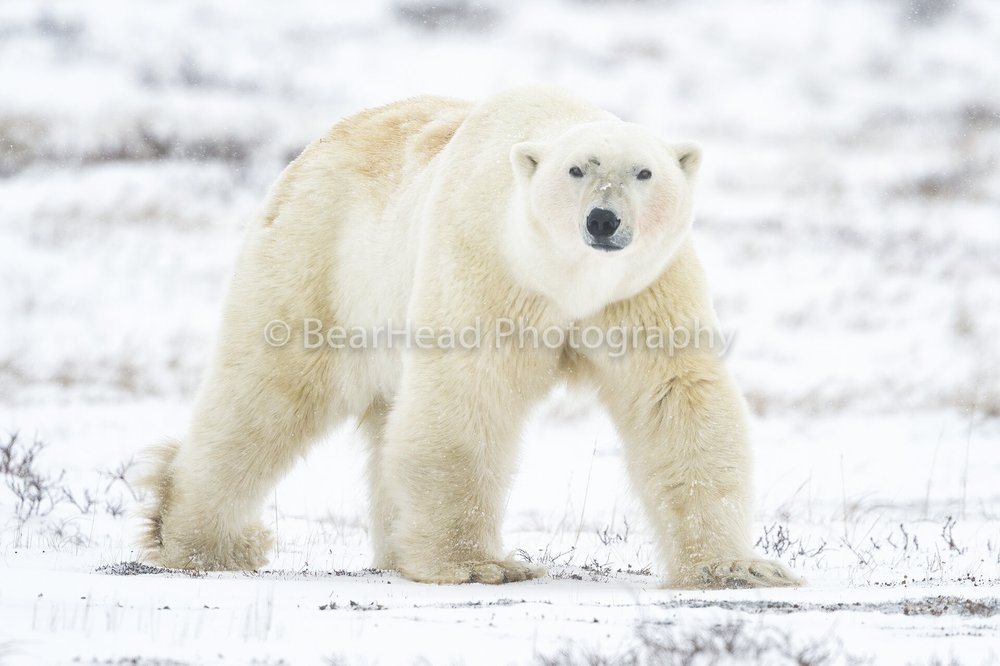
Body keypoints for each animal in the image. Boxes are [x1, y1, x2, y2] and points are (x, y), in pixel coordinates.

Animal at [139, 86, 802, 589]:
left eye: (645, 172)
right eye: (576, 169)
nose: (603, 221)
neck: (565, 281)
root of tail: (310, 151)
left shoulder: (644, 291)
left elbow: (675, 395)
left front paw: (738, 569)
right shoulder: (486, 265)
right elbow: (467, 395)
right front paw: (480, 565)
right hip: (320, 261)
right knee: (267, 392)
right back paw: (200, 542)